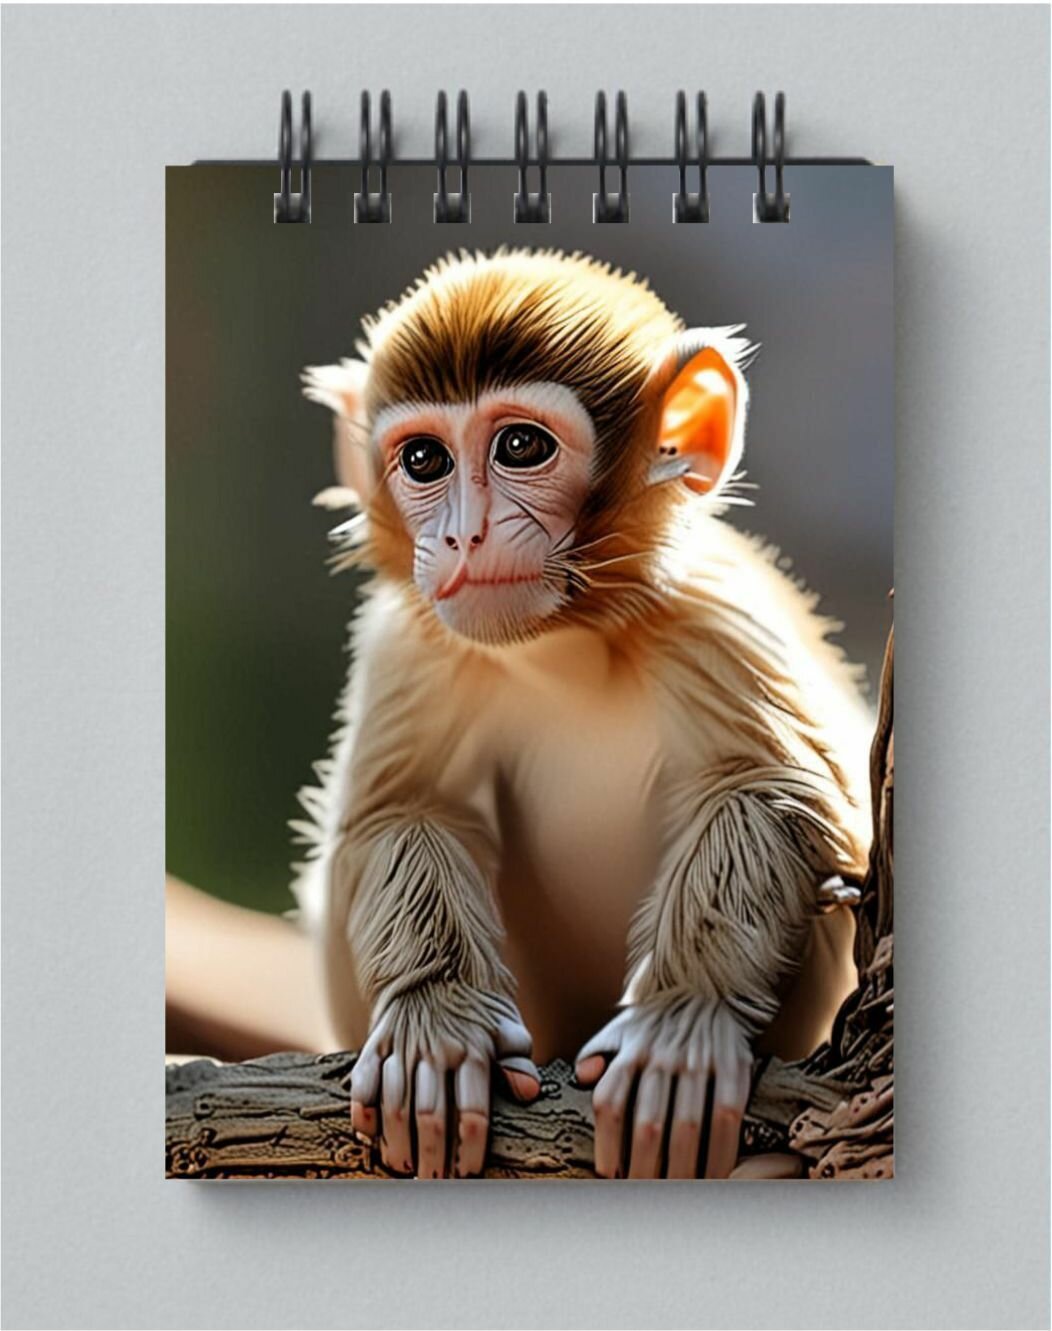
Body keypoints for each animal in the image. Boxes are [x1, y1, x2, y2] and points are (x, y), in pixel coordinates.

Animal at [293, 248, 871, 1180]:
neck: (562, 644)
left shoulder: (712, 616)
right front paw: (435, 1021)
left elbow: (778, 791)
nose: (462, 536)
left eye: (521, 445)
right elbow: (399, 812)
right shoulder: (415, 651)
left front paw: (681, 1022)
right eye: (422, 460)